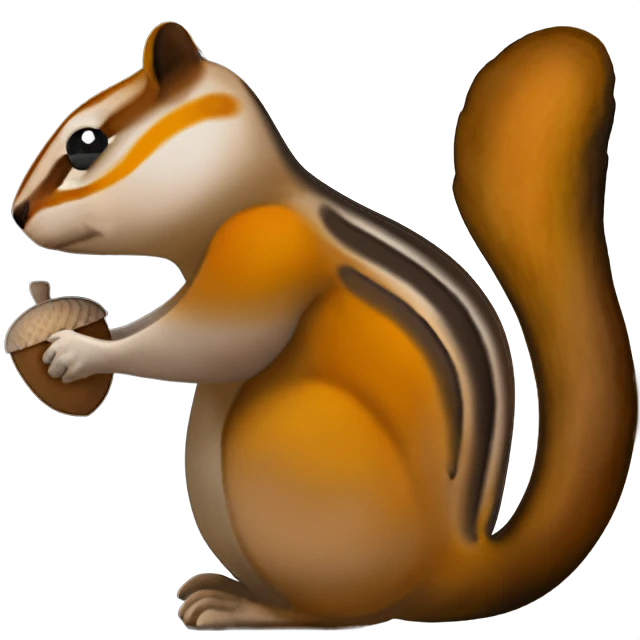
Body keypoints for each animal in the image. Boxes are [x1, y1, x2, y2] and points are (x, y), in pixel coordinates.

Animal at [10, 22, 637, 630]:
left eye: (86, 143)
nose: (17, 214)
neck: (249, 193)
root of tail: (455, 565)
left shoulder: (267, 246)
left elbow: (212, 341)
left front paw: (79, 353)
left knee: (333, 613)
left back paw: (241, 610)